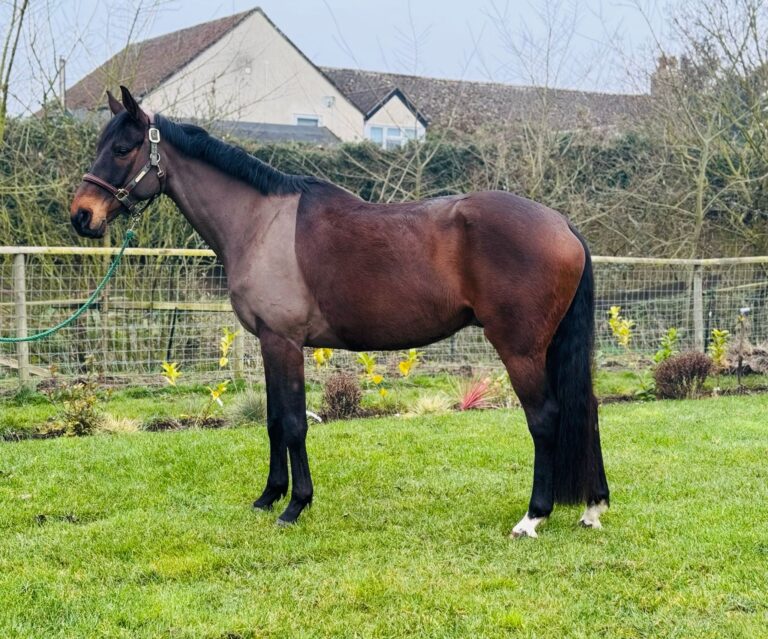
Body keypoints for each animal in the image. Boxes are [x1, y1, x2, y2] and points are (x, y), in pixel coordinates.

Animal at [70, 86, 609, 538]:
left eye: (123, 149)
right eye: (100, 144)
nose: (81, 215)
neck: (260, 222)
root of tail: (561, 224)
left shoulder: (284, 342)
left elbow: (293, 422)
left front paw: (295, 505)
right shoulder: (270, 343)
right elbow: (272, 419)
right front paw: (269, 496)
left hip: (520, 349)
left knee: (545, 417)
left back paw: (533, 517)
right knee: (585, 409)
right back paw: (591, 508)